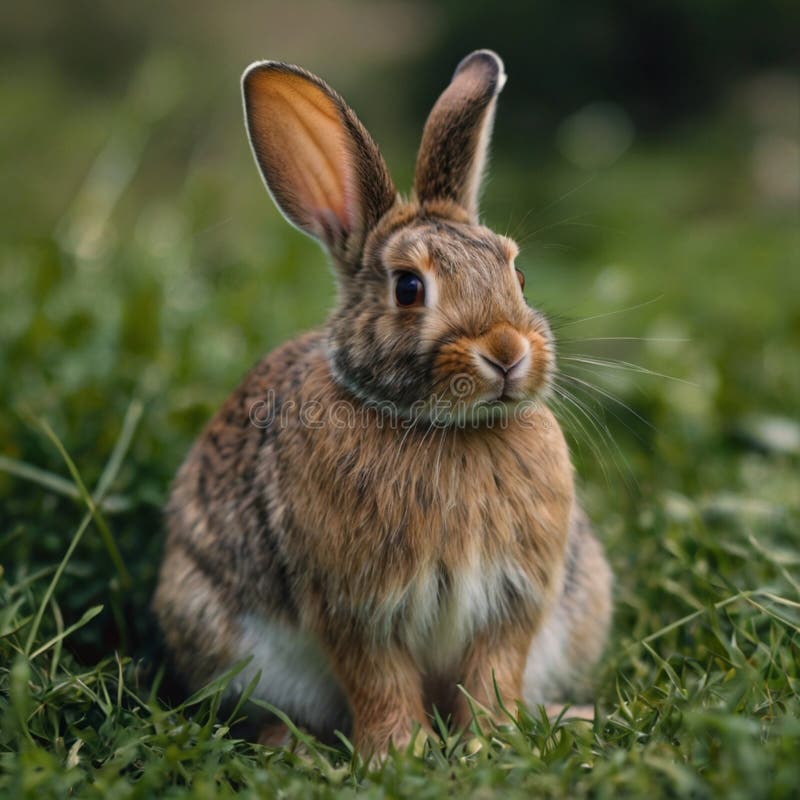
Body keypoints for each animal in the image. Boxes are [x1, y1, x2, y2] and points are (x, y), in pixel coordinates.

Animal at [153, 49, 612, 758]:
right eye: (408, 288)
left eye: (517, 272)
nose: (507, 351)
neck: (447, 428)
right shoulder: (357, 609)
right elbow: (380, 680)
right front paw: (401, 754)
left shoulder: (512, 603)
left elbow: (493, 673)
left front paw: (491, 742)